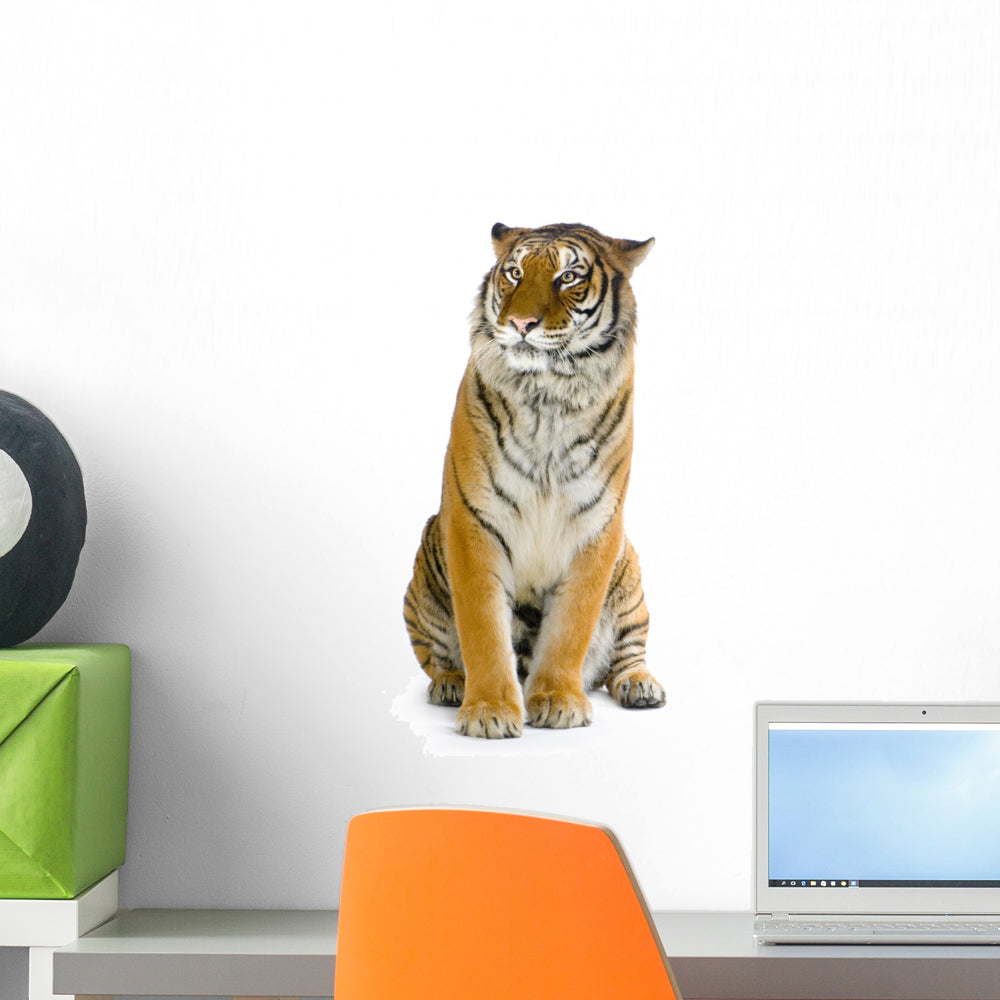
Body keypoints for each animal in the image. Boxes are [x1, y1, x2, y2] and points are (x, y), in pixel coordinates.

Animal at [403, 222, 665, 739]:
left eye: (568, 277)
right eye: (515, 274)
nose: (521, 323)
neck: (548, 394)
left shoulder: (596, 528)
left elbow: (571, 627)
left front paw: (559, 701)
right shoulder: (473, 521)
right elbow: (482, 628)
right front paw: (488, 711)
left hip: (630, 578)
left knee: (627, 653)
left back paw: (641, 686)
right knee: (435, 655)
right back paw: (450, 684)